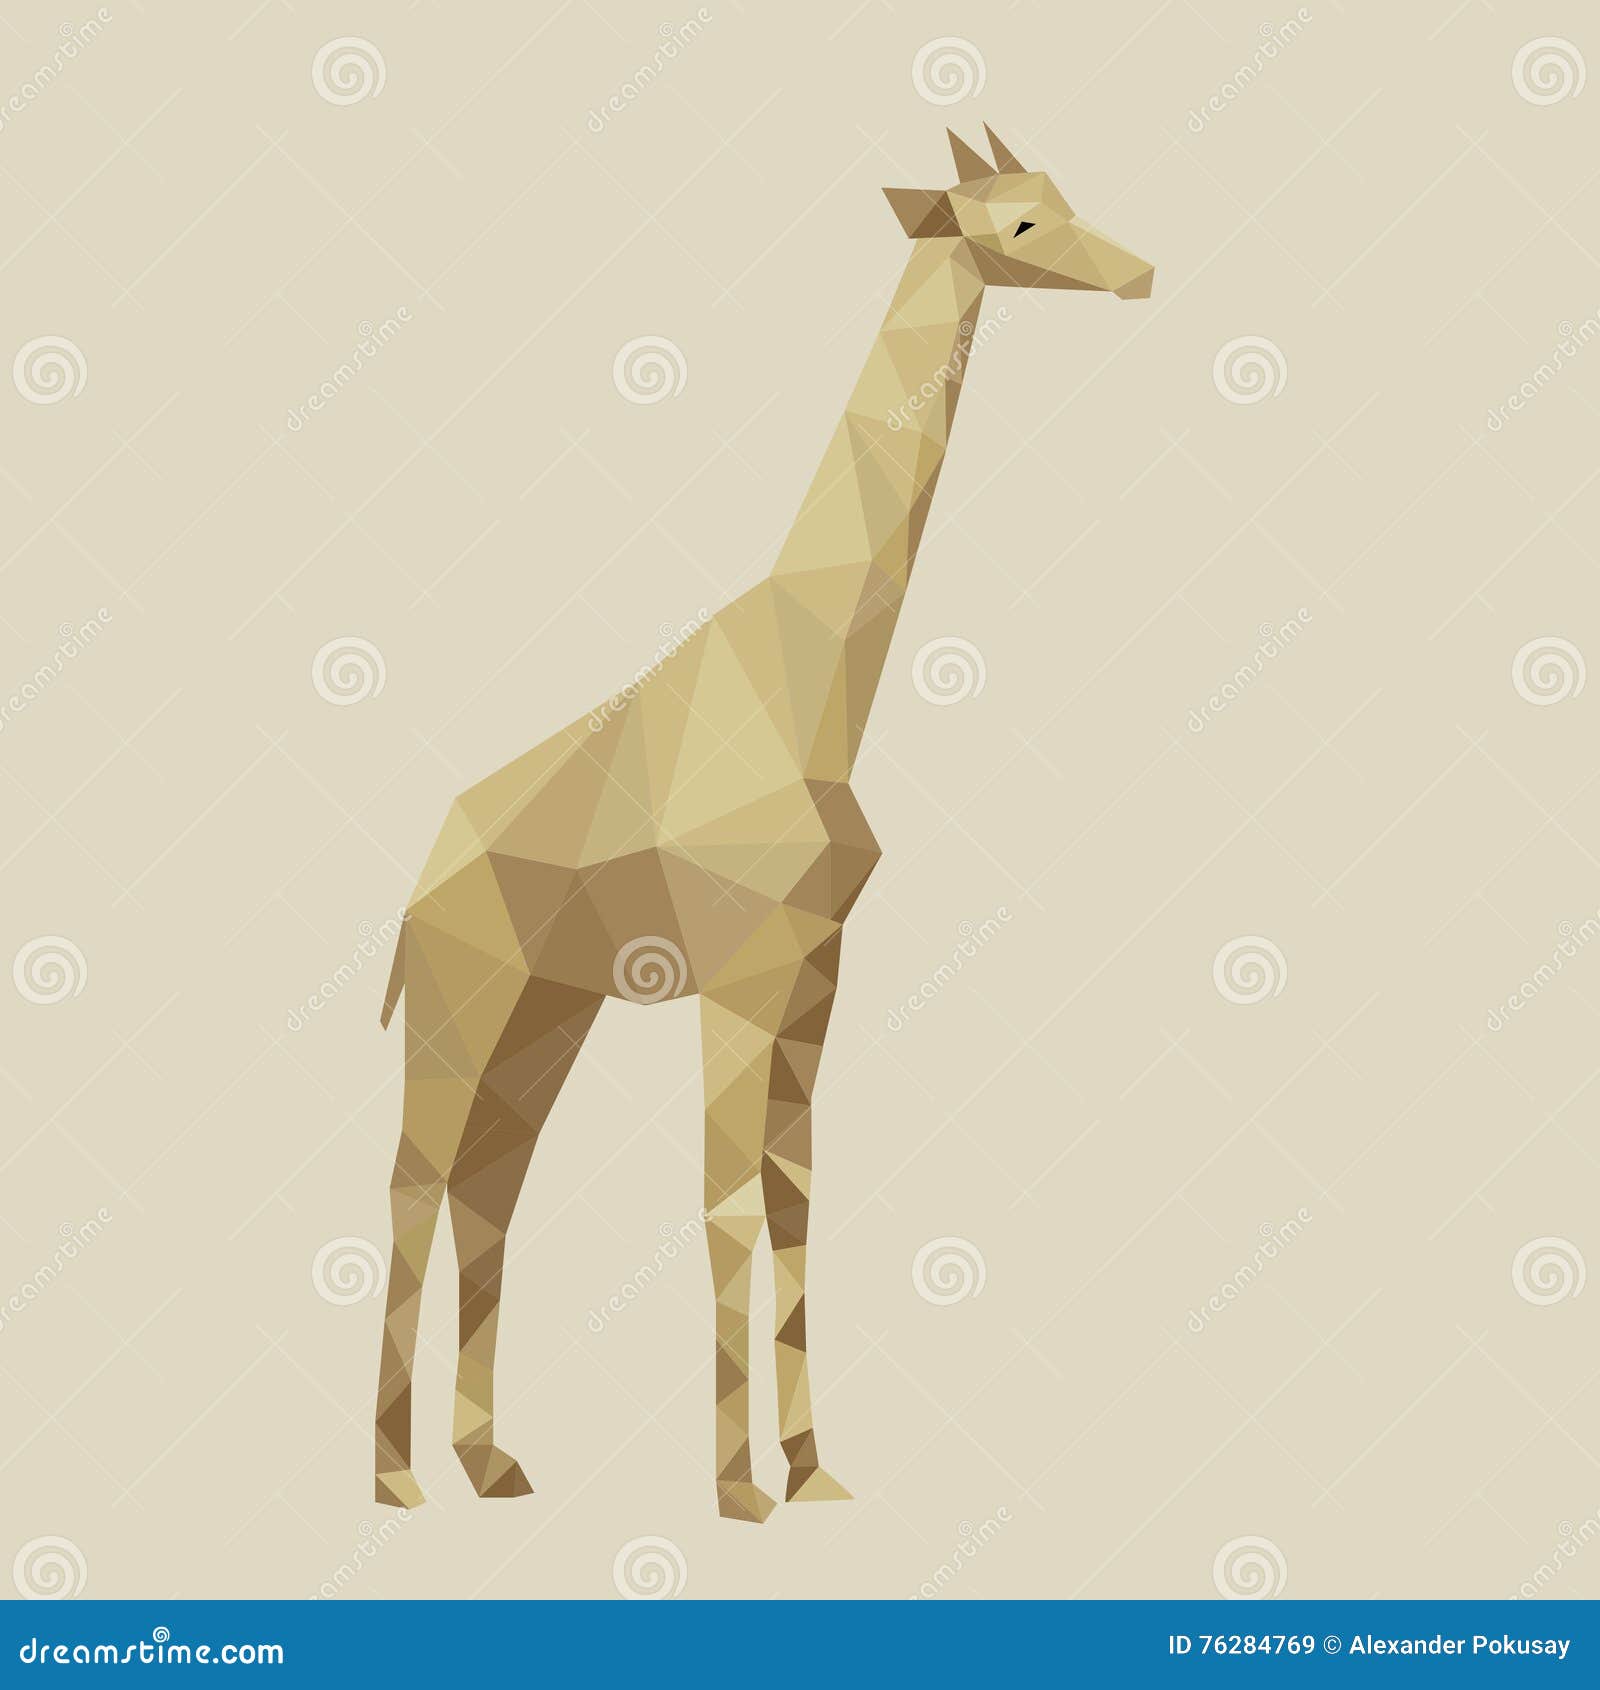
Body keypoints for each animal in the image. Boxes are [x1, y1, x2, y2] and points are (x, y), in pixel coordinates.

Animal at [372, 126, 1153, 1522]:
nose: (1140, 274)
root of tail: (416, 891)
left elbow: (791, 1199)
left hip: (544, 1017)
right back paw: (394, 1480)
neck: (812, 693)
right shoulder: (738, 978)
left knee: (490, 1197)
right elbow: (728, 1202)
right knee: (416, 1185)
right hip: (466, 1004)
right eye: (1014, 226)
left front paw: (814, 1472)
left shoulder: (813, 972)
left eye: (1059, 197)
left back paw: (492, 1464)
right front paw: (739, 1491)